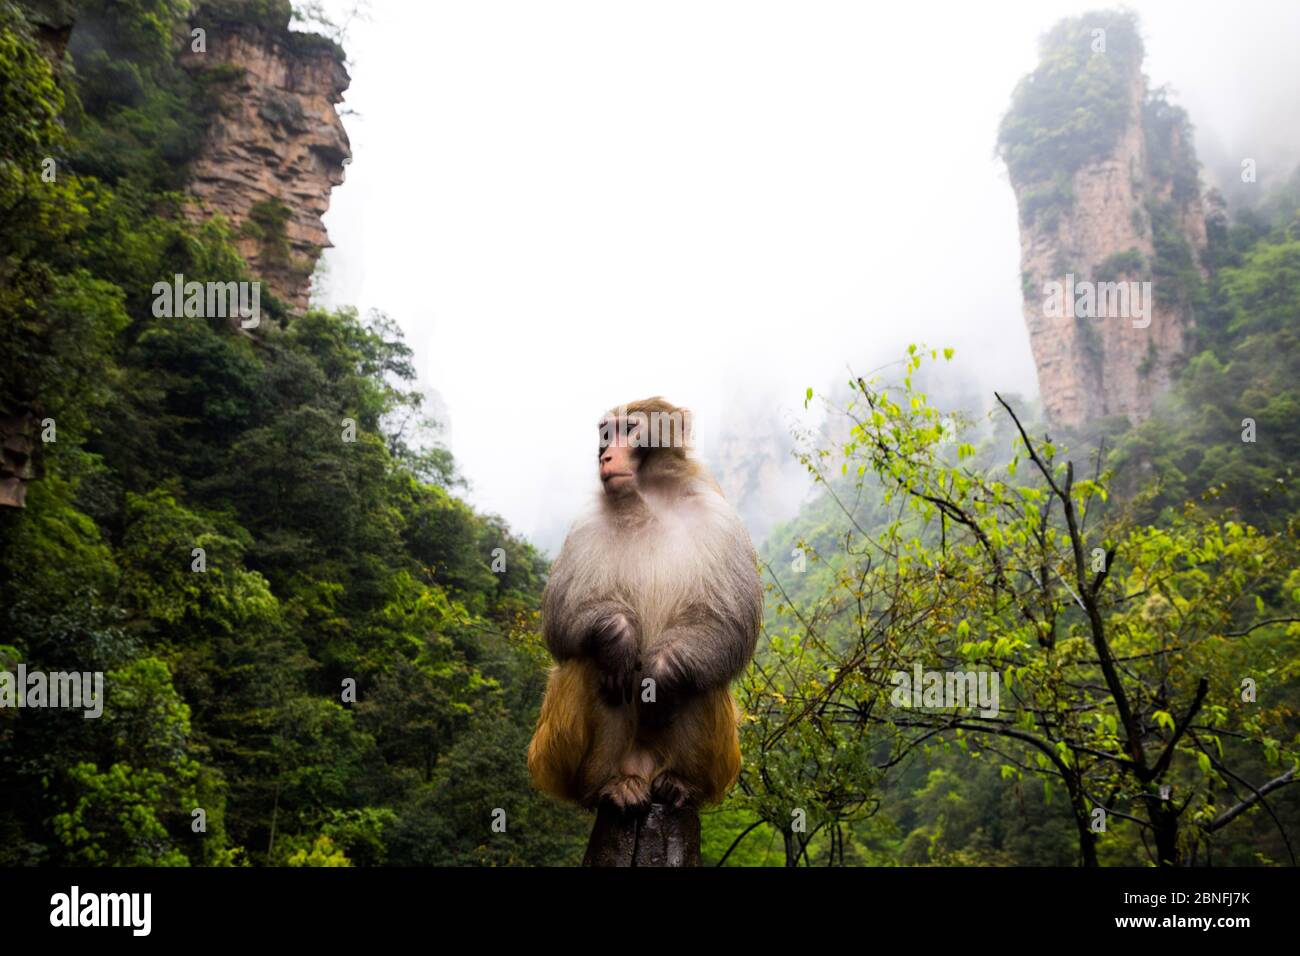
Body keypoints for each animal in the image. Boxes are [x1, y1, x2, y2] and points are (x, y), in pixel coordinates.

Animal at [527, 397, 763, 813]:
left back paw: (681, 783)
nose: (605, 454)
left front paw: (663, 672)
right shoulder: (587, 521)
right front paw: (617, 634)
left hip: (713, 767)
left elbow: (732, 621)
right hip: (552, 759)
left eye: (629, 429)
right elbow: (561, 617)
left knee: (703, 676)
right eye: (605, 433)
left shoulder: (719, 516)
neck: (650, 501)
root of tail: (644, 767)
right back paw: (608, 785)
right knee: (590, 663)